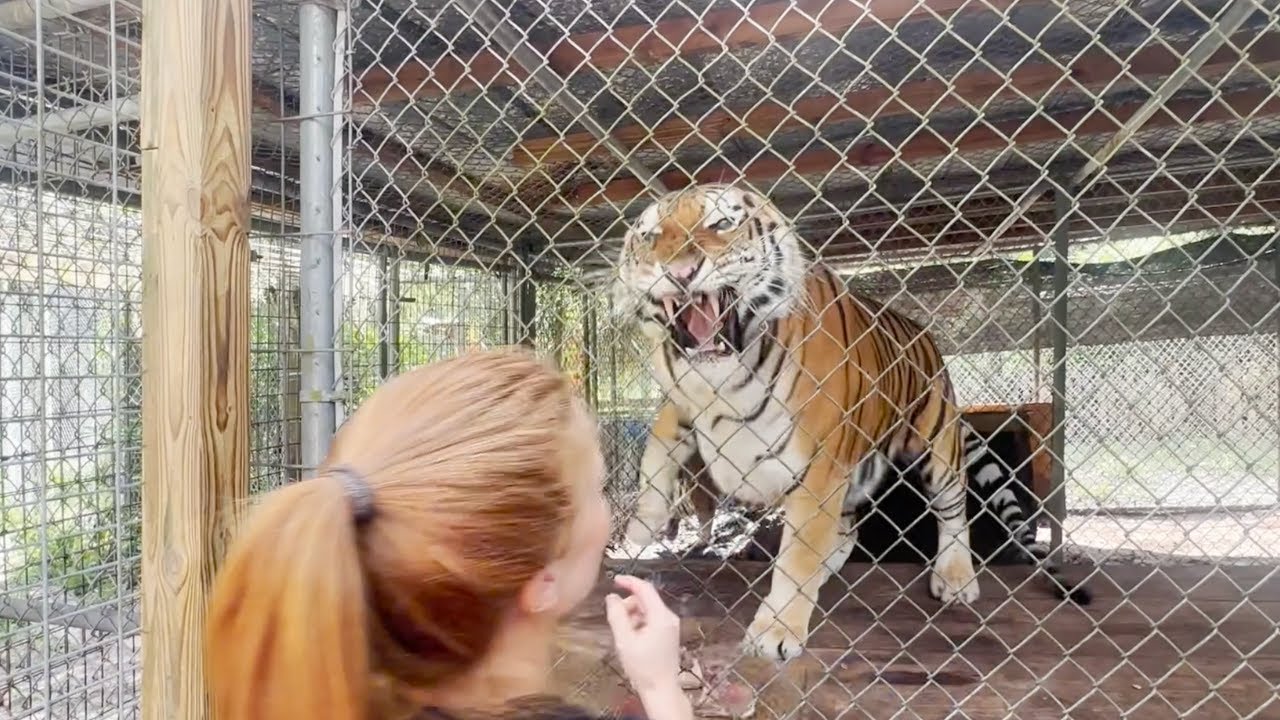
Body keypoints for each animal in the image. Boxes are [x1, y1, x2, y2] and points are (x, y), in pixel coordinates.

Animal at [611, 183, 981, 662]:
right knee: (848, 530)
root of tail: (923, 331)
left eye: (721, 224)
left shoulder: (819, 467)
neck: (723, 380)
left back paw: (956, 578)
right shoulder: (681, 403)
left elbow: (798, 555)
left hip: (936, 443)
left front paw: (777, 630)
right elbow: (654, 454)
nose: (680, 271)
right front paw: (643, 526)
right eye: (650, 235)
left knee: (953, 509)